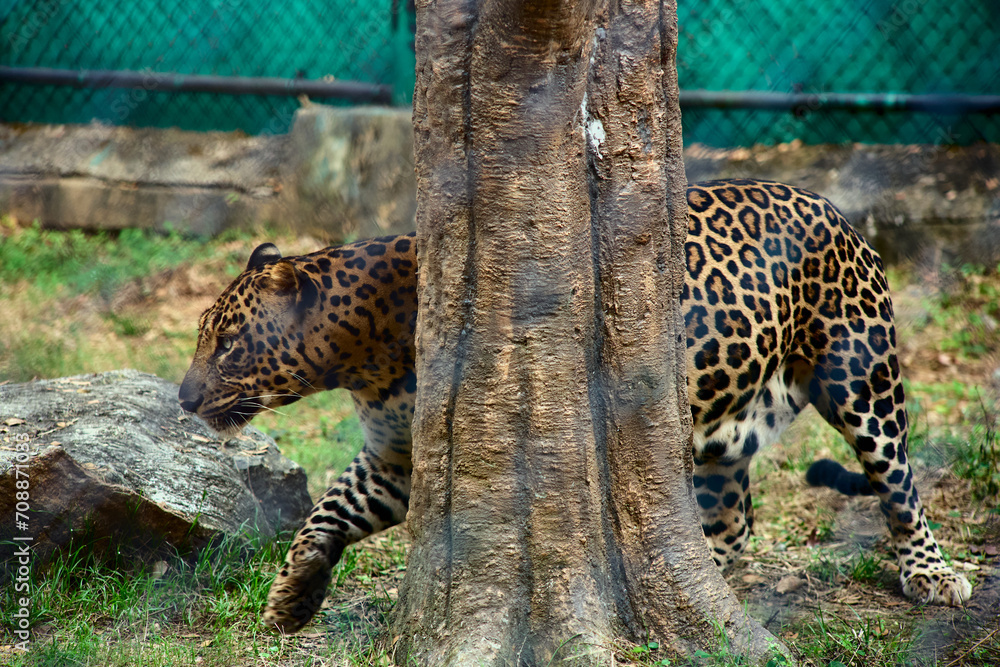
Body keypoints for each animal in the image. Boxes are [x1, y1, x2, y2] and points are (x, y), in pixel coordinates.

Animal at [179, 178, 972, 634]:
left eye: (225, 341)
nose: (184, 397)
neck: (358, 351)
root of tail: (833, 206)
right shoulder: (397, 459)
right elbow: (325, 512)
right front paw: (292, 597)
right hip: (724, 422)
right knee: (731, 518)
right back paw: (700, 580)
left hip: (863, 375)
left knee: (898, 477)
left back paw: (932, 573)